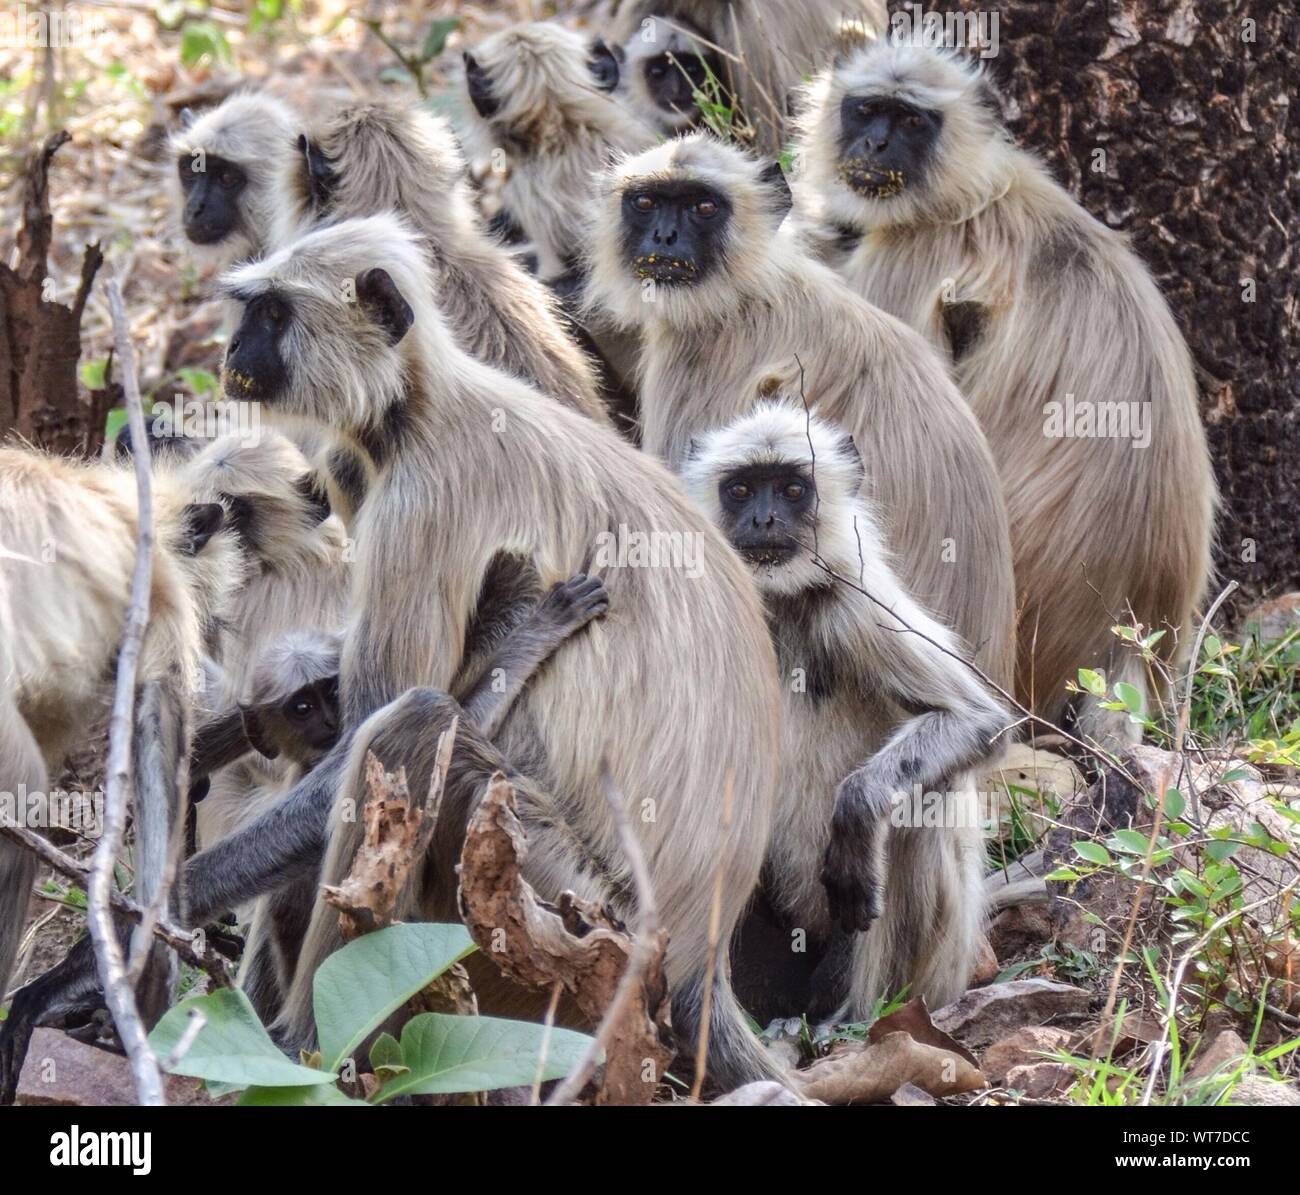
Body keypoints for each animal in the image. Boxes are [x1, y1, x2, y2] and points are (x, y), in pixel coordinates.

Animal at [186, 211, 785, 1092]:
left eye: (269, 314)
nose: (235, 350)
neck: (422, 404)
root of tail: (699, 961)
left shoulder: (419, 502)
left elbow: (360, 741)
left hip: (560, 904)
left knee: (417, 720)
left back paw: (309, 1049)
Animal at [682, 400, 1010, 1020]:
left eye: (792, 489)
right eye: (741, 490)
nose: (764, 520)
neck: (781, 602)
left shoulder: (857, 606)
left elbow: (978, 720)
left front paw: (855, 814)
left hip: (928, 973)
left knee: (927, 799)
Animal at [793, 41, 1218, 742]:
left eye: (910, 122)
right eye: (866, 110)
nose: (876, 144)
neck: (973, 197)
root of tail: (1123, 647)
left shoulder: (910, 255)